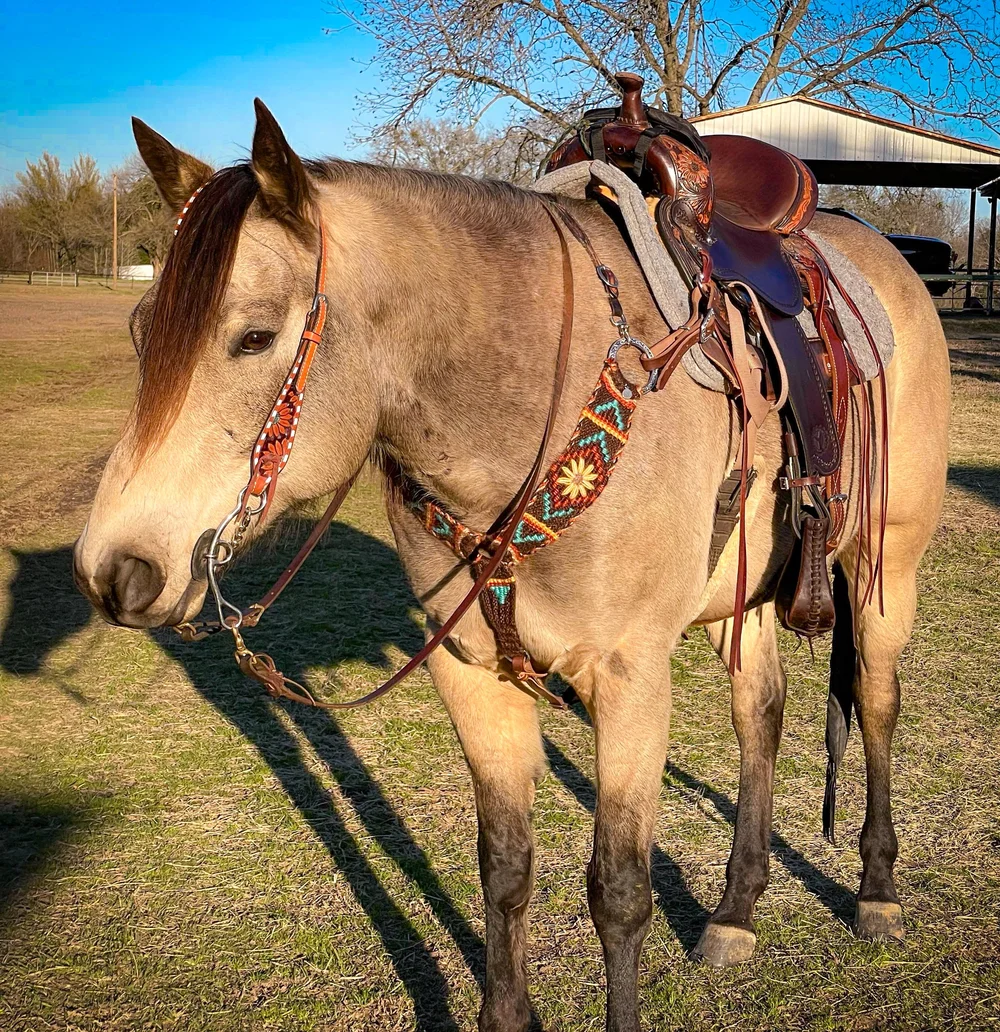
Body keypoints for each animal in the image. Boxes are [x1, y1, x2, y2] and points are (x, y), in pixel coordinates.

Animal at [74, 101, 949, 1032]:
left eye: (255, 336)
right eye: (139, 331)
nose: (113, 571)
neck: (534, 406)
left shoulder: (631, 680)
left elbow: (619, 891)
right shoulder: (472, 671)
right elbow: (504, 865)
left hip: (886, 568)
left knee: (879, 706)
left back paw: (878, 894)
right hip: (739, 594)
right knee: (763, 713)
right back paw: (735, 914)